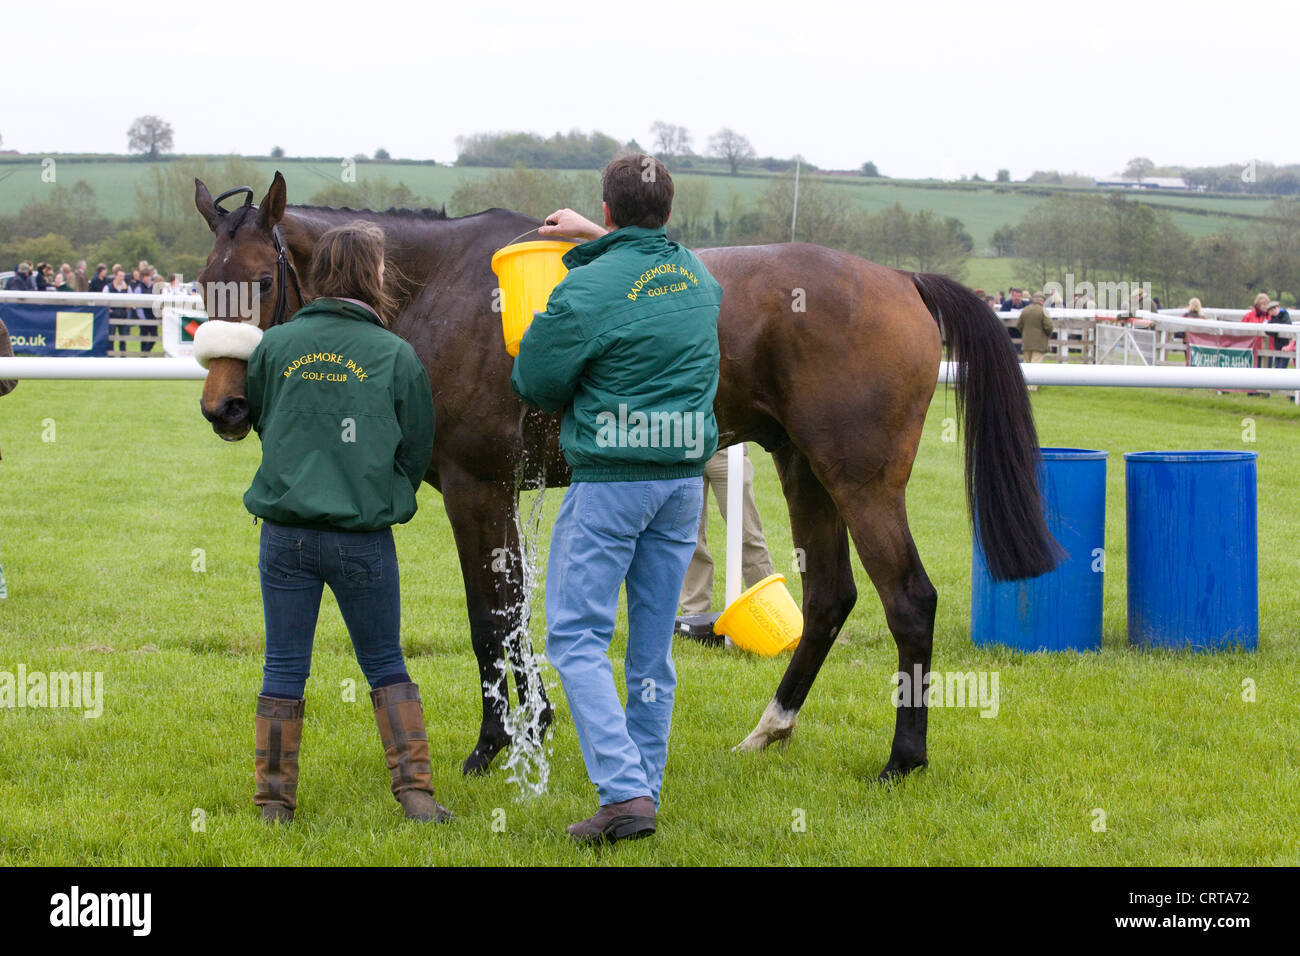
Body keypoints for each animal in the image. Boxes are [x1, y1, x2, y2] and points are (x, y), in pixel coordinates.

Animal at [194, 171, 1057, 782]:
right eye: (203, 286)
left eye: (261, 282)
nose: (223, 408)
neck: (445, 288)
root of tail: (902, 280)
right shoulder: (501, 495)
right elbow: (512, 614)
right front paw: (535, 725)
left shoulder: (477, 489)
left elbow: (489, 620)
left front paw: (491, 745)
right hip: (803, 467)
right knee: (829, 598)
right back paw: (770, 728)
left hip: (861, 478)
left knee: (909, 601)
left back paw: (904, 758)